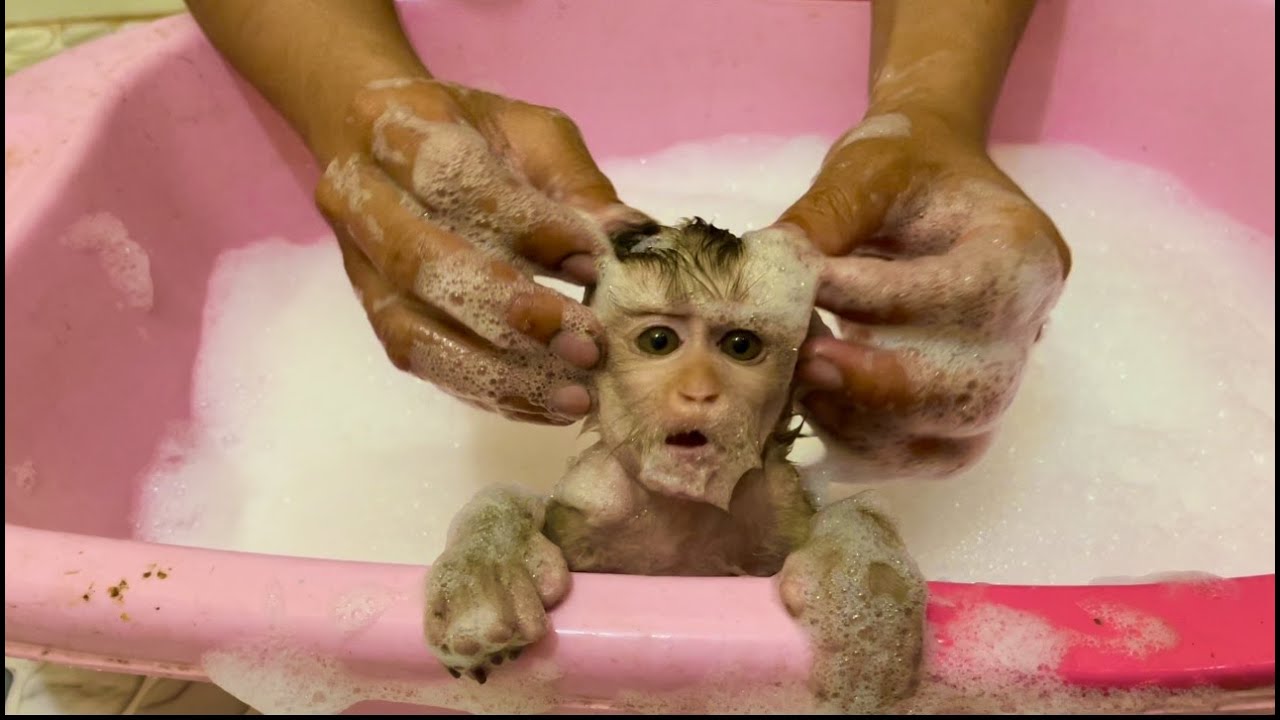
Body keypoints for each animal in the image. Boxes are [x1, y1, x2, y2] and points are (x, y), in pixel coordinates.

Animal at [423, 218, 927, 713]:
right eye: (659, 341)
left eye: (740, 345)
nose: (700, 392)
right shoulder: (591, 509)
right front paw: (481, 570)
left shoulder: (780, 508)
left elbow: (852, 514)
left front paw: (869, 603)